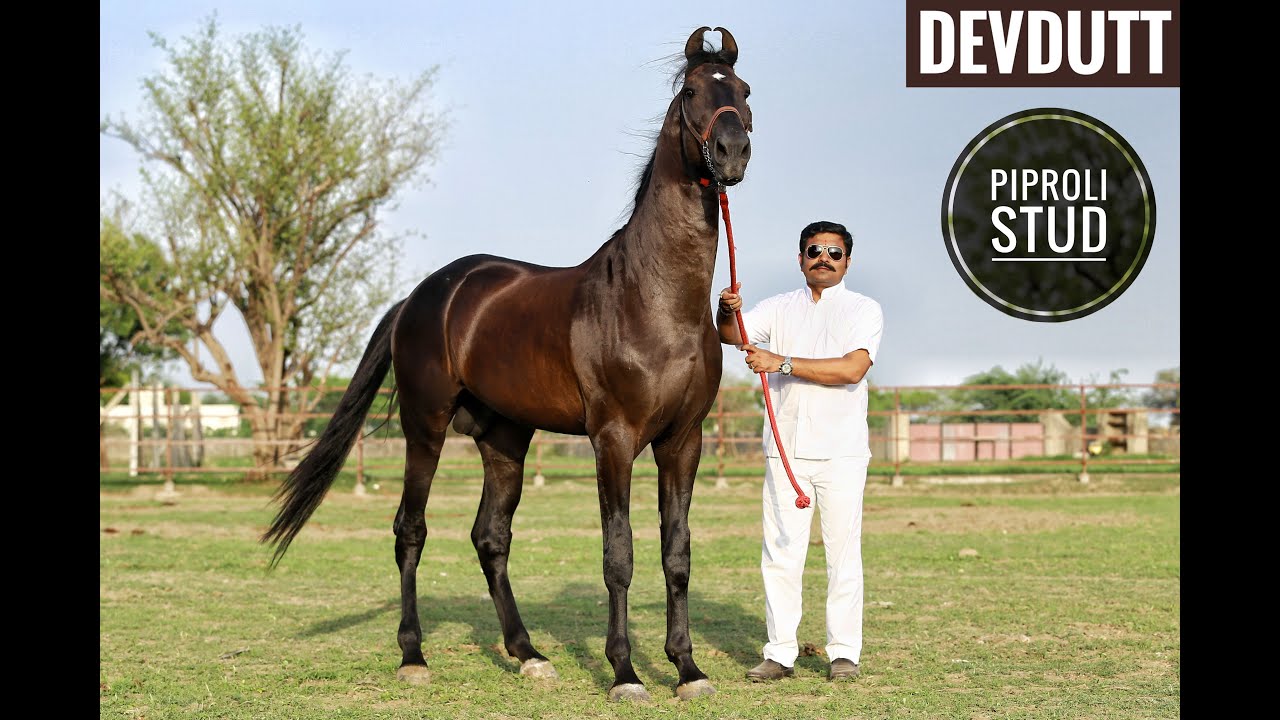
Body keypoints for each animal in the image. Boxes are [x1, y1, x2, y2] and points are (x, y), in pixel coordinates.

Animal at [262, 26, 752, 703]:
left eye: (745, 91)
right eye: (692, 92)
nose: (733, 152)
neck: (653, 299)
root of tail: (420, 296)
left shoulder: (683, 441)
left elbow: (675, 555)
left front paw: (687, 669)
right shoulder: (614, 441)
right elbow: (619, 556)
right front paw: (625, 673)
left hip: (504, 438)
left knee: (490, 539)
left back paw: (528, 654)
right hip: (425, 427)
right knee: (410, 529)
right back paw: (413, 656)